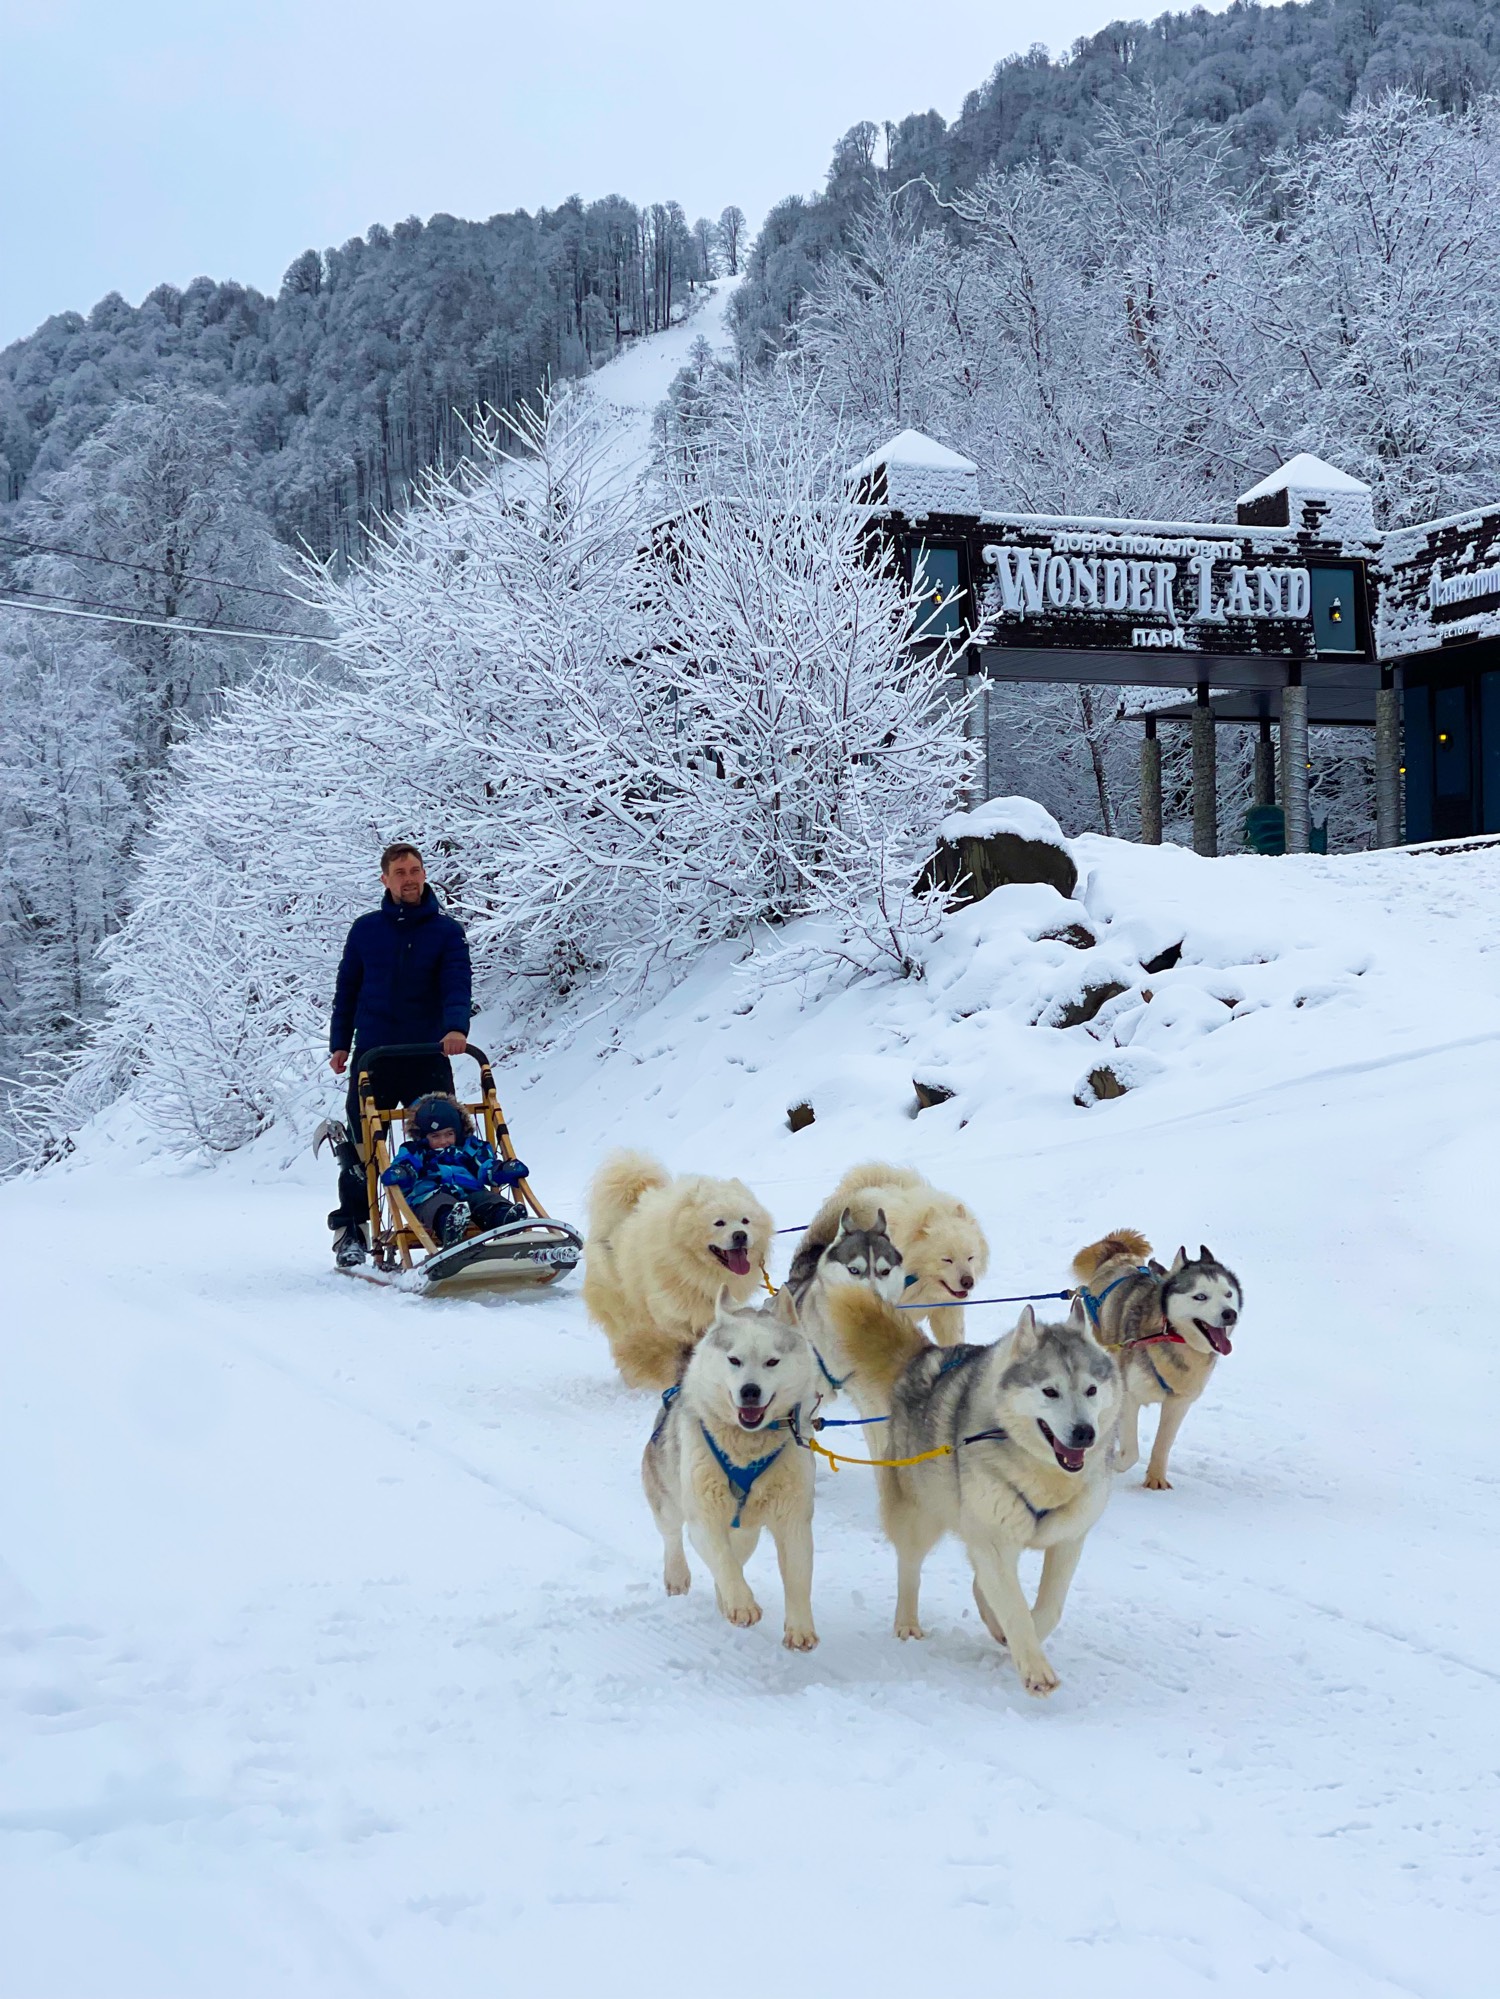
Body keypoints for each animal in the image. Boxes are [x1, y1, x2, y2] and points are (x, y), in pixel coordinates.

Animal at [584, 1159, 780, 1391]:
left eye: (745, 1221)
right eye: (719, 1222)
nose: (740, 1235)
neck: (698, 1273)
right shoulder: (674, 1319)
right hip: (628, 1311)